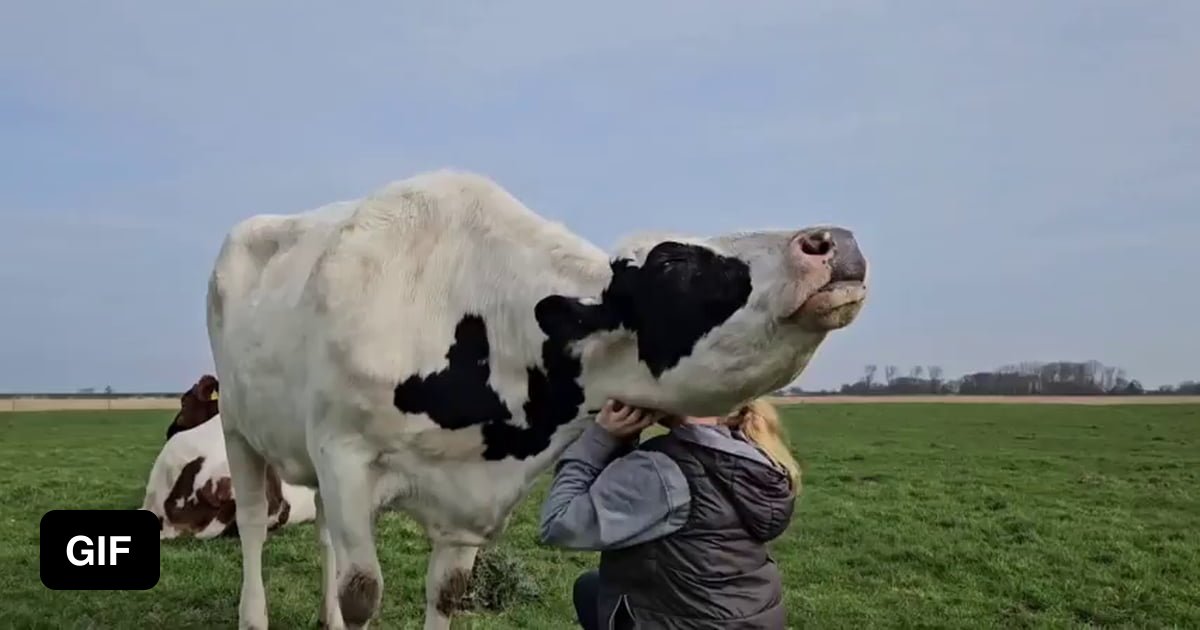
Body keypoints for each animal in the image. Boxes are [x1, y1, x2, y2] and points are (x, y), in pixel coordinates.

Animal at [206, 170, 869, 629]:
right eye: (671, 261)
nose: (834, 240)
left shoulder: (459, 506)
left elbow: (443, 594)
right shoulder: (344, 456)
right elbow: (362, 593)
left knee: (320, 534)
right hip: (238, 426)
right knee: (252, 524)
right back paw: (252, 615)